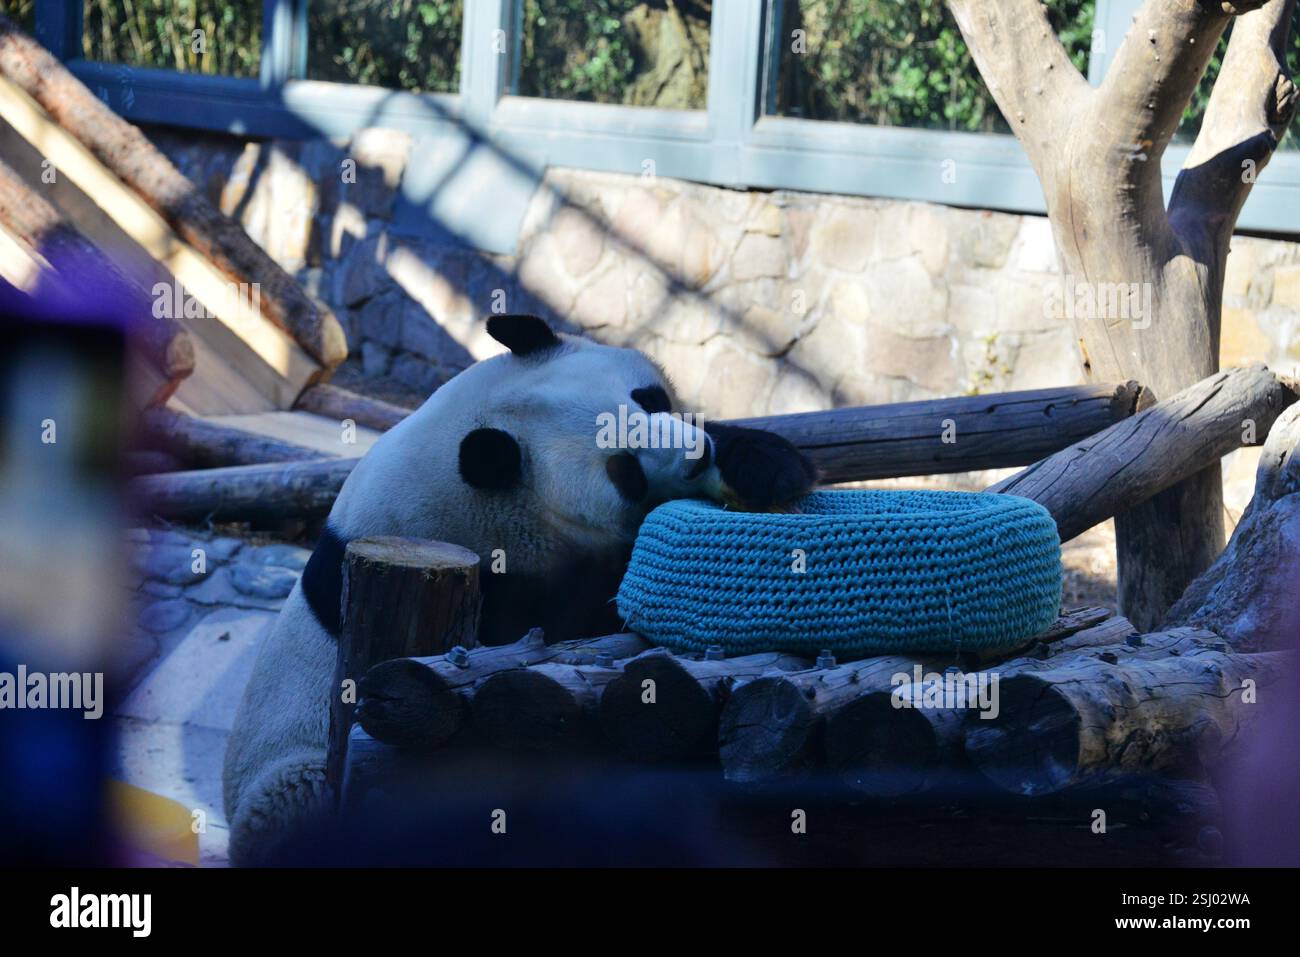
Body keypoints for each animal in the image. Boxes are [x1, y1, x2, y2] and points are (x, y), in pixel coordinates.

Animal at [221, 314, 816, 865]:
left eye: (649, 400)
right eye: (623, 470)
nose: (695, 456)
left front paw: (761, 464)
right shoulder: (492, 575)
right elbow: (574, 622)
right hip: (291, 772)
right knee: (295, 795)